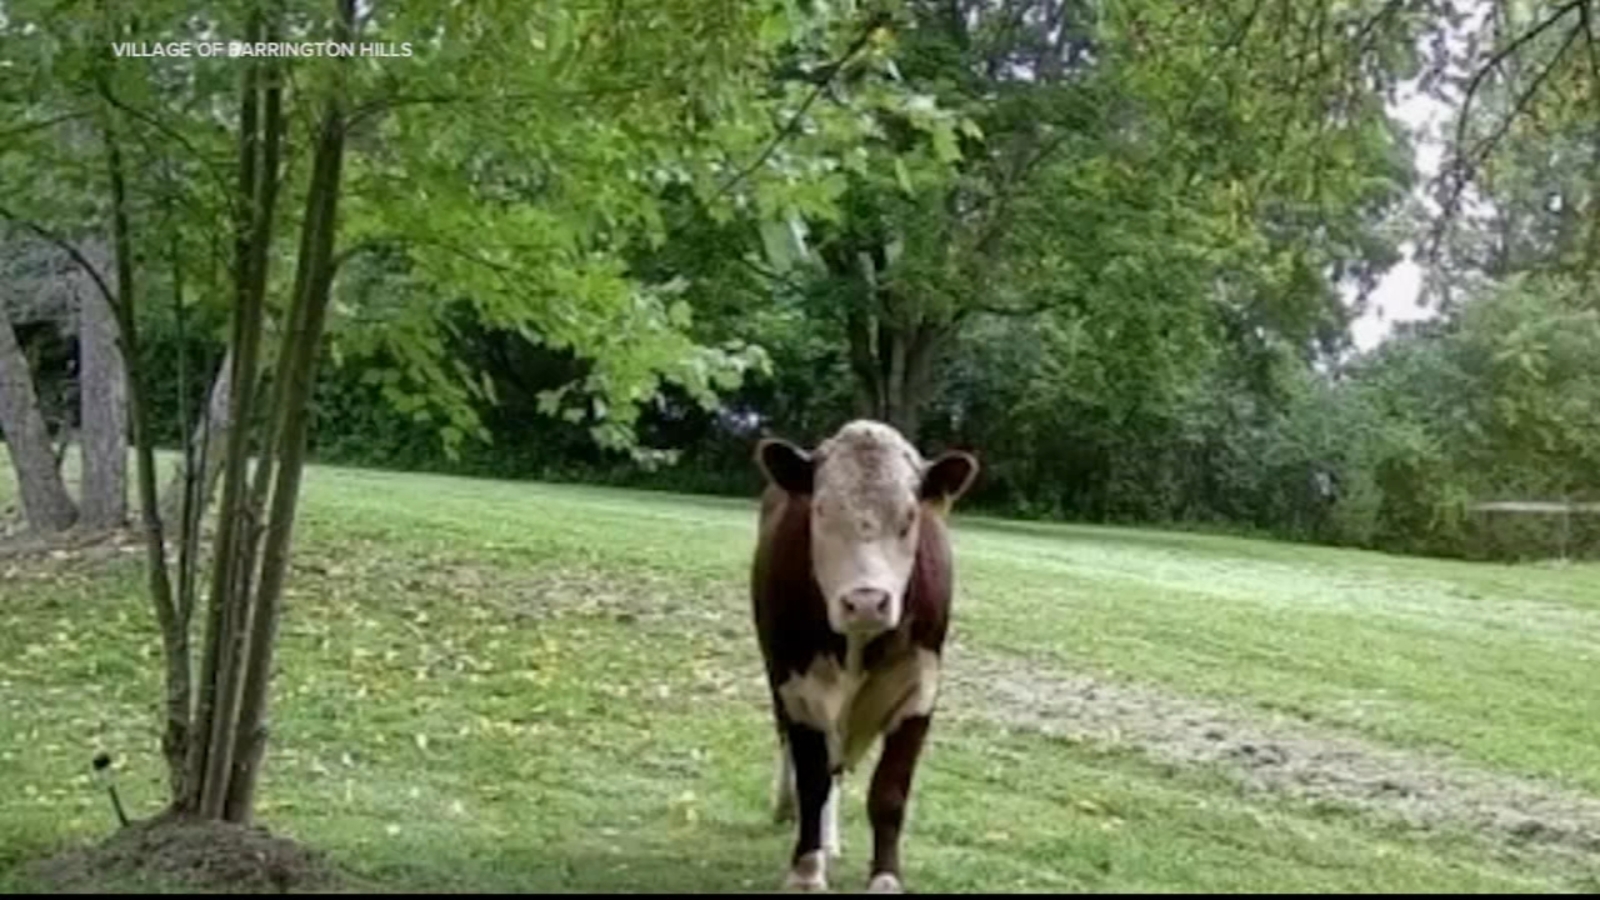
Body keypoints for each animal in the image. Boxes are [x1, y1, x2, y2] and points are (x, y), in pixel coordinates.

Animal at [750, 419, 979, 893]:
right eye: (821, 510)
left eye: (910, 517)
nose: (867, 601)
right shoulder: (798, 689)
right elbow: (812, 782)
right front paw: (806, 870)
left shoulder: (919, 689)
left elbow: (889, 793)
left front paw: (886, 877)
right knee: (792, 748)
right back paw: (790, 810)